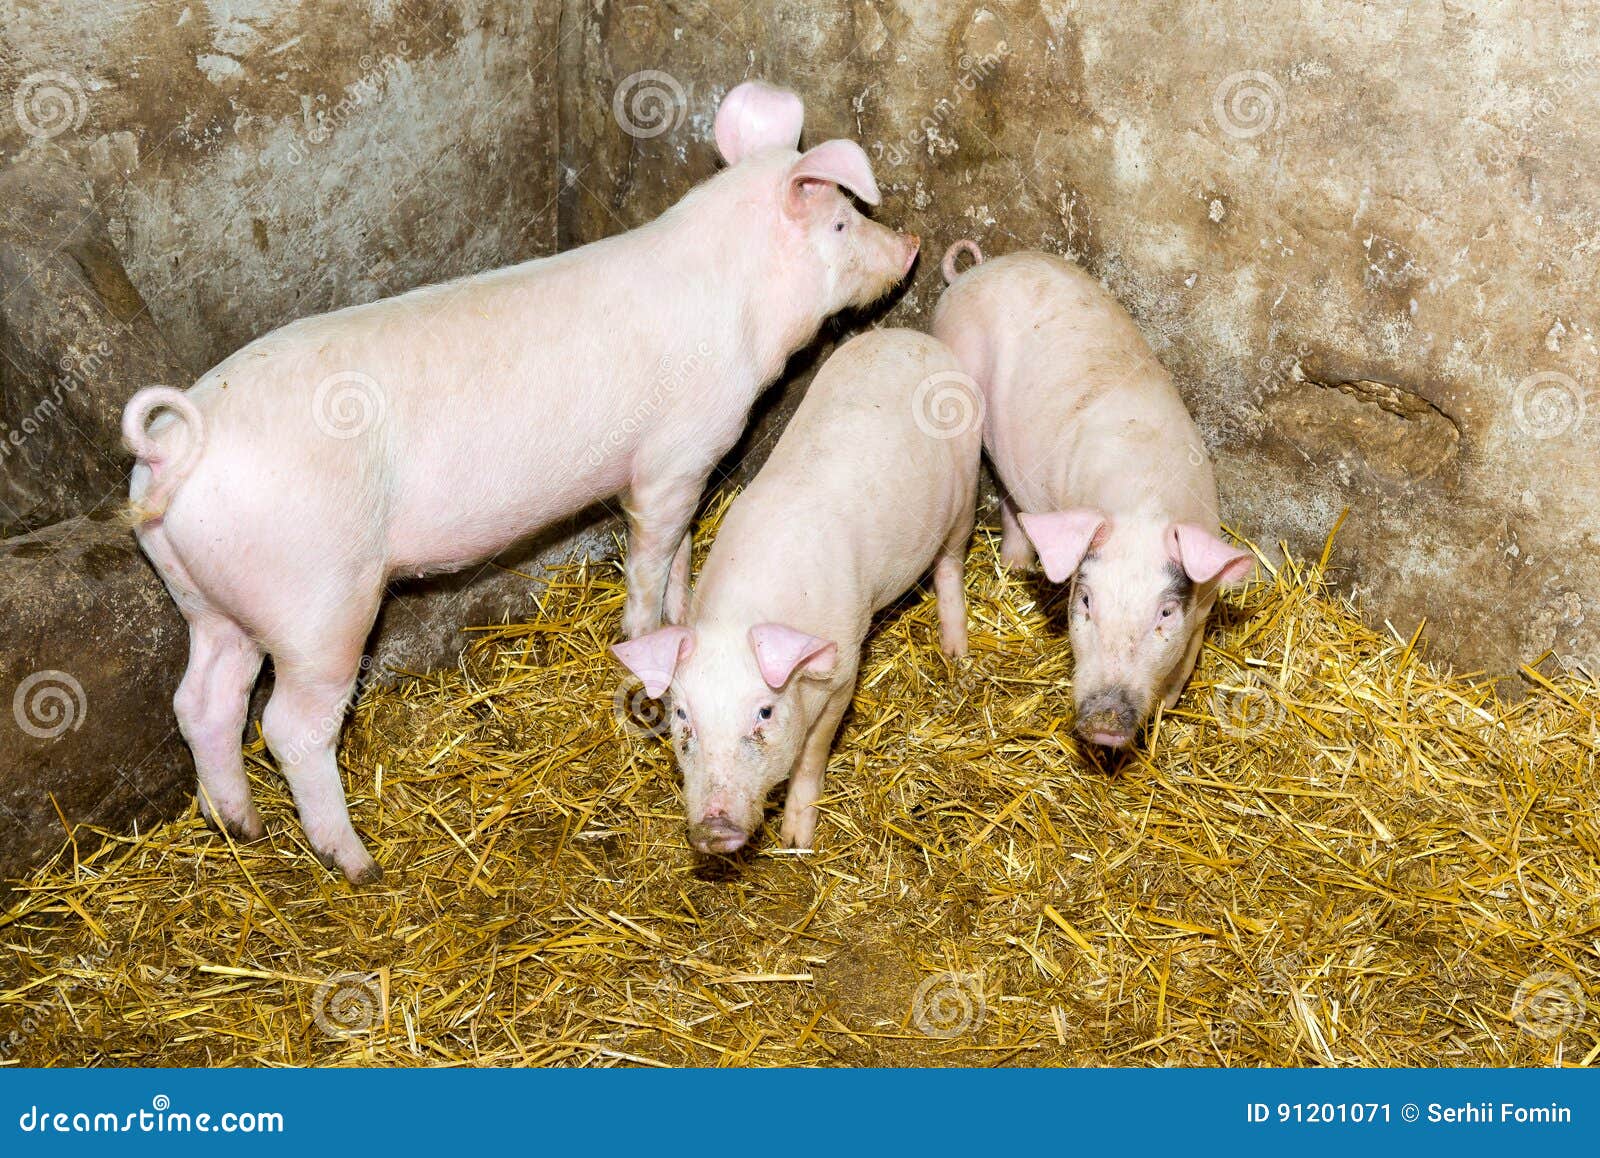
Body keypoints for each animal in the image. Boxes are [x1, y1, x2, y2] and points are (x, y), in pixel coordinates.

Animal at [119, 80, 920, 883]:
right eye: (843, 220)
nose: (911, 246)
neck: (742, 304)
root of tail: (179, 444)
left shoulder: (690, 467)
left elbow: (684, 557)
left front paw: (682, 617)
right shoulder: (671, 459)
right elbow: (651, 563)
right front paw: (645, 664)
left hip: (208, 598)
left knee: (202, 702)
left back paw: (239, 826)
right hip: (316, 604)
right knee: (288, 726)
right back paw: (360, 864)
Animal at [611, 329, 981, 854]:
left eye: (764, 711)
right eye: (683, 715)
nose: (713, 827)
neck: (743, 612)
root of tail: (914, 338)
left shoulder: (843, 669)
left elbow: (812, 752)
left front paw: (796, 840)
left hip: (967, 483)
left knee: (950, 562)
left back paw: (955, 653)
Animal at [932, 241, 1253, 749]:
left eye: (1165, 612)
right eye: (1085, 601)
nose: (1104, 722)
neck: (1143, 502)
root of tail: (971, 272)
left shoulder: (1202, 607)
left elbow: (1181, 671)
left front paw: (1163, 713)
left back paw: (1017, 566)